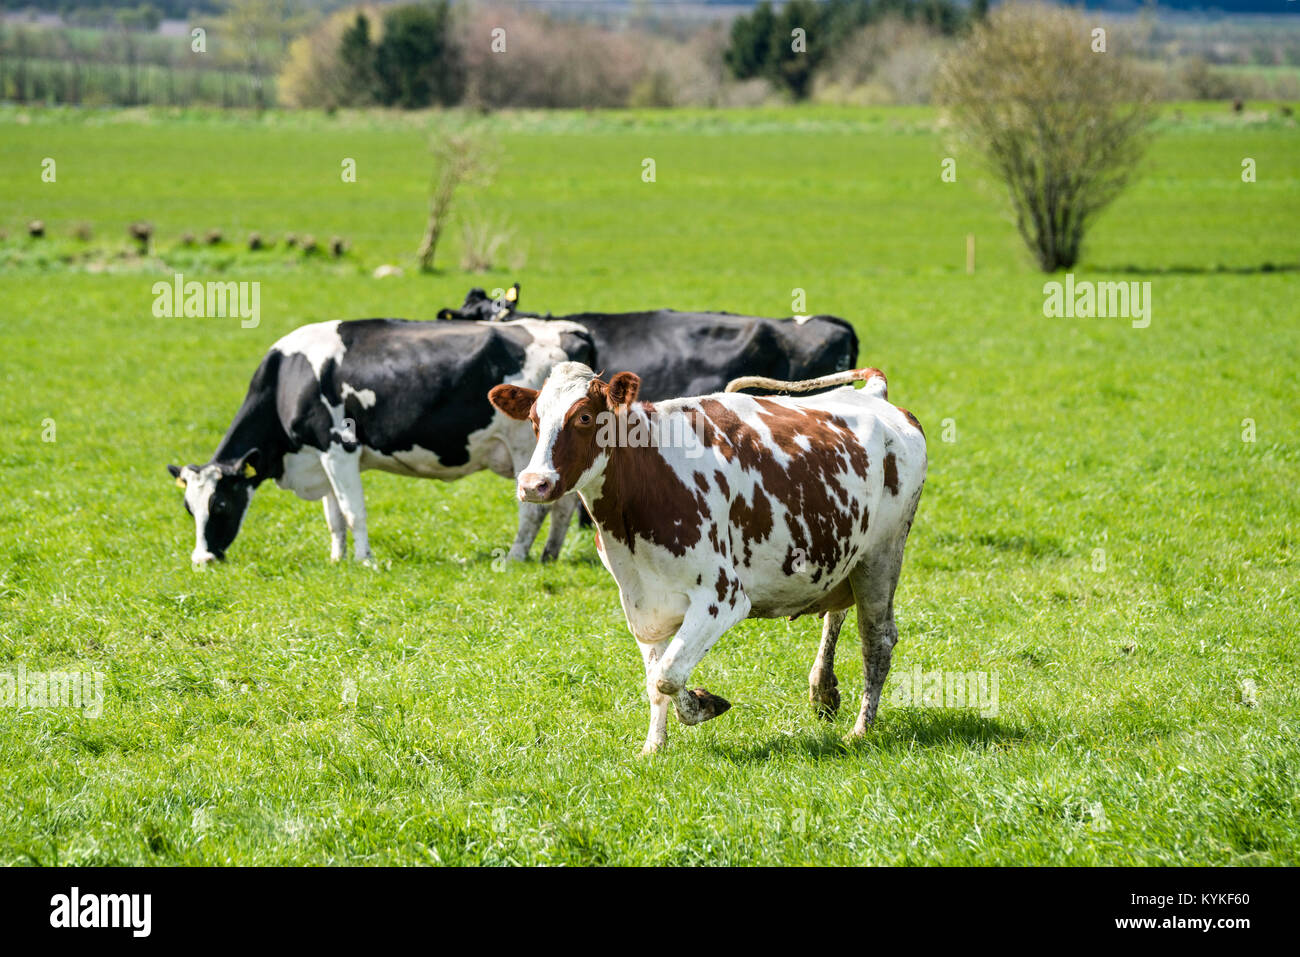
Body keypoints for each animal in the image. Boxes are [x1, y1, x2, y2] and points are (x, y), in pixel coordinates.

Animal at [167, 317, 594, 567]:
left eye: (221, 504)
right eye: (189, 508)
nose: (202, 559)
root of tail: (570, 329)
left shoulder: (339, 446)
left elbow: (353, 511)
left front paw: (364, 560)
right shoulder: (320, 456)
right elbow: (334, 515)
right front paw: (337, 557)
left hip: (526, 449)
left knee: (533, 510)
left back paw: (516, 556)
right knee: (564, 504)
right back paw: (549, 554)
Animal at [488, 361, 926, 754]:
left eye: (582, 416)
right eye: (534, 420)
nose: (533, 484)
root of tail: (875, 396)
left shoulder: (722, 597)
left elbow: (667, 676)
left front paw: (702, 704)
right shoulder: (642, 603)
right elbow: (655, 679)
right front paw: (655, 746)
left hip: (883, 555)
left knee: (877, 641)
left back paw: (861, 729)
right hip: (844, 551)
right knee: (837, 612)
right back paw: (823, 689)